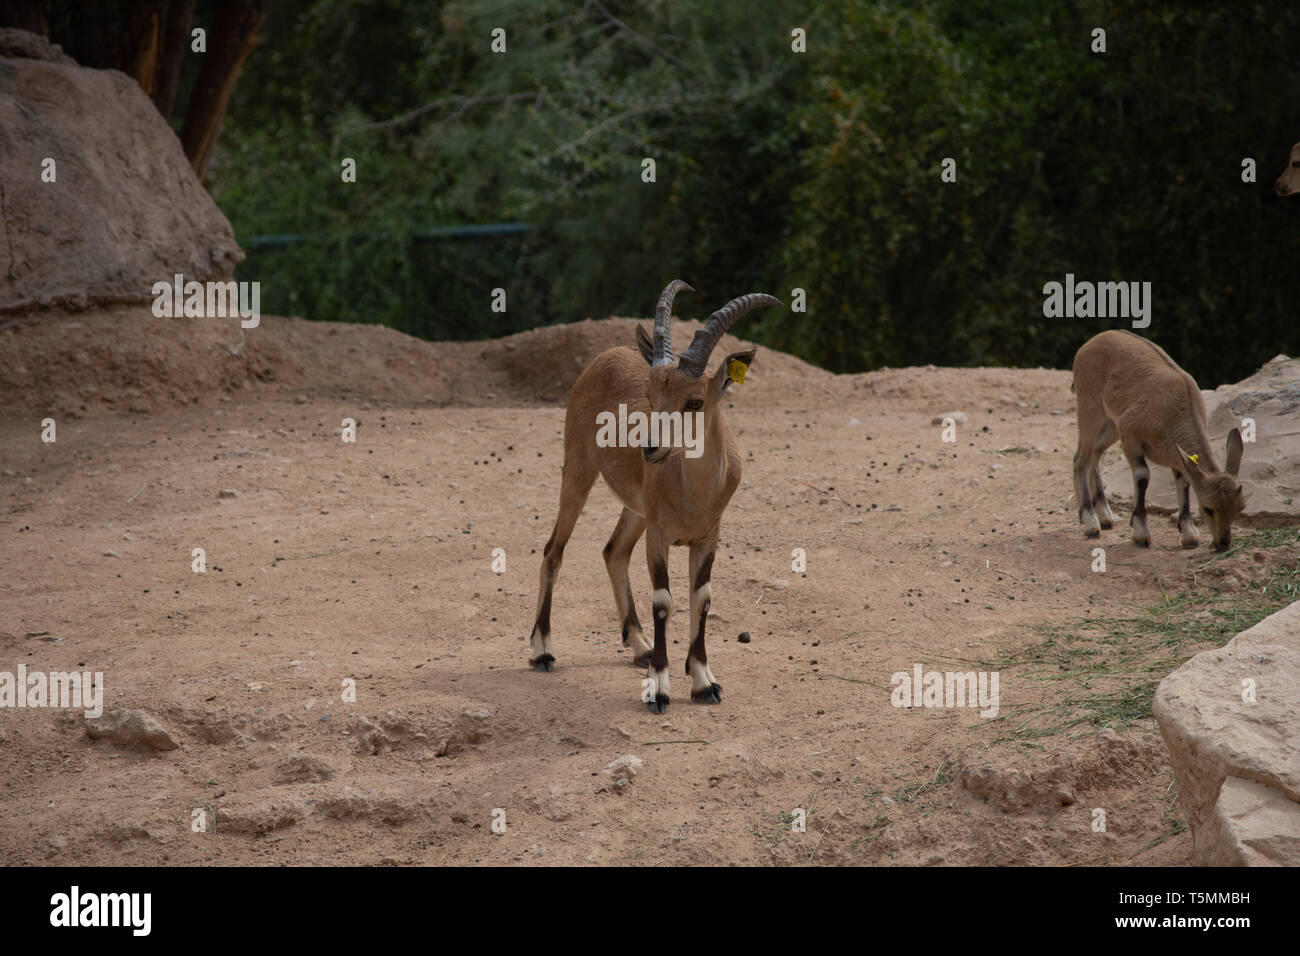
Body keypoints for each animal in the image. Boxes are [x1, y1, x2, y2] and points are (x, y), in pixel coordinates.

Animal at [528, 281, 782, 712]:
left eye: (695, 401)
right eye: (650, 395)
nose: (650, 448)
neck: (695, 492)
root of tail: (603, 357)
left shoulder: (708, 536)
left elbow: (702, 598)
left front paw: (703, 683)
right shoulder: (659, 536)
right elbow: (663, 601)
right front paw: (660, 690)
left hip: (636, 509)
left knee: (613, 551)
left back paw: (640, 645)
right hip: (578, 468)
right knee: (554, 550)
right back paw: (543, 651)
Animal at [1072, 330, 1244, 551]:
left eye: (1239, 508)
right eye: (1208, 509)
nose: (1223, 543)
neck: (1173, 413)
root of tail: (1091, 343)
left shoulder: (1177, 455)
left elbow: (1184, 481)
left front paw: (1189, 535)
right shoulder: (1130, 434)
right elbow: (1142, 476)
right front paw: (1141, 533)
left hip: (1111, 425)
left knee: (1096, 453)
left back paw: (1105, 516)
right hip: (1090, 407)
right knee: (1081, 459)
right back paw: (1090, 522)